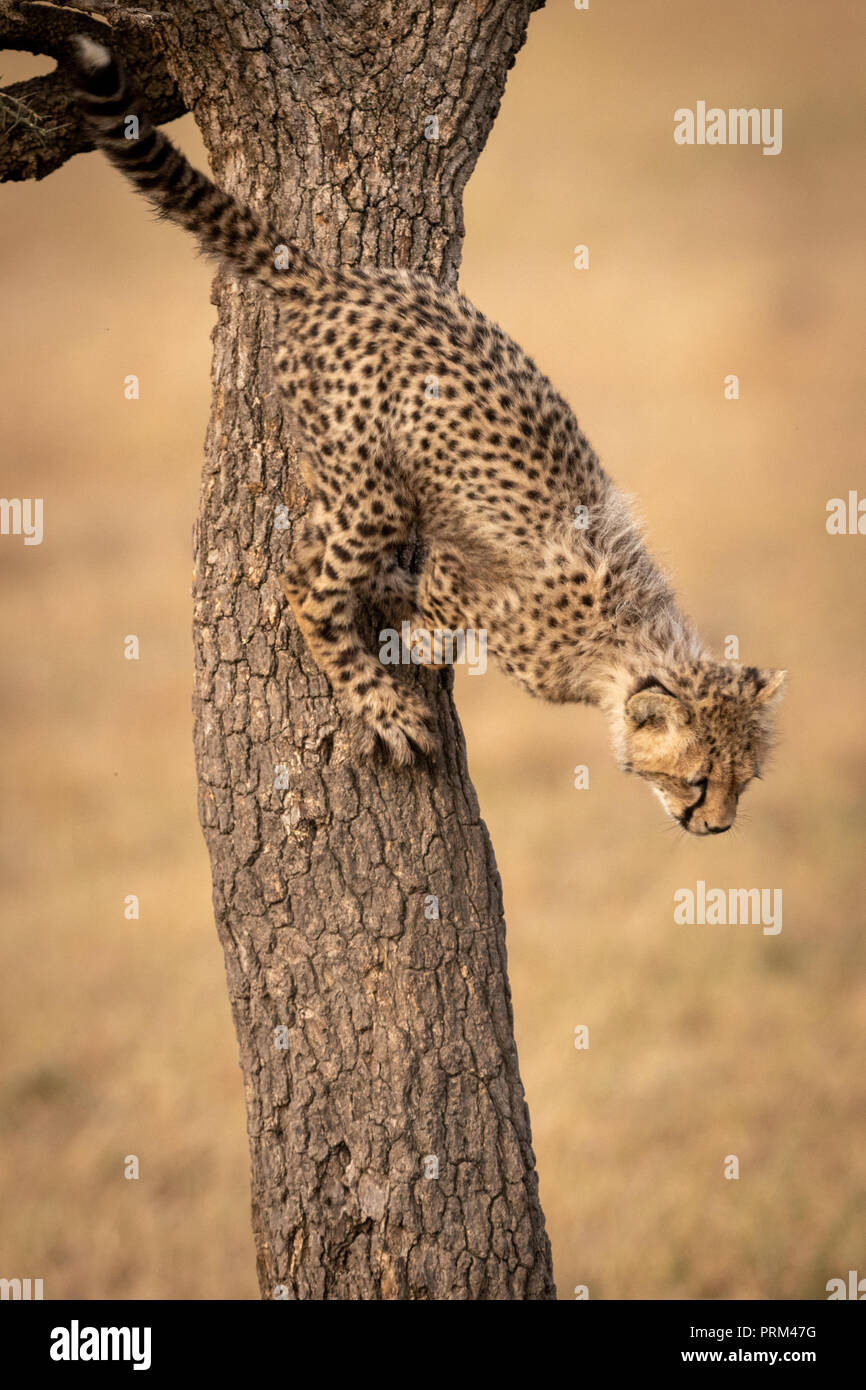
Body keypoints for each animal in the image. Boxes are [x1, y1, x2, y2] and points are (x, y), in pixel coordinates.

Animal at [70, 36, 785, 835]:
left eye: (745, 781)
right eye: (697, 780)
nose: (716, 826)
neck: (626, 641)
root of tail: (331, 279)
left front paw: (400, 604)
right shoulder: (468, 581)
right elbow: (432, 614)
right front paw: (416, 645)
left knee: (302, 561)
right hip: (373, 489)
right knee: (307, 587)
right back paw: (386, 707)